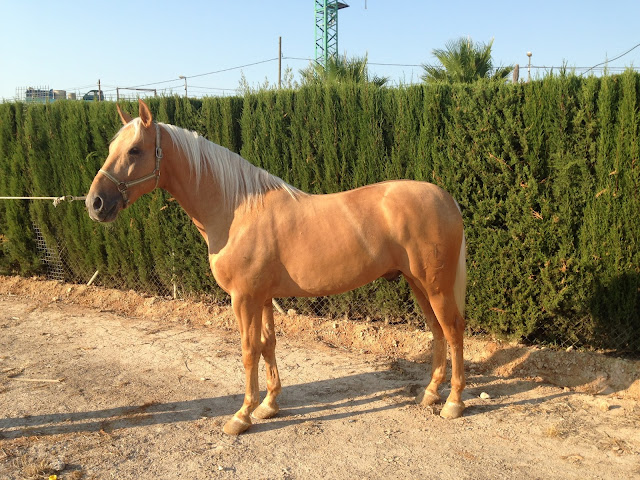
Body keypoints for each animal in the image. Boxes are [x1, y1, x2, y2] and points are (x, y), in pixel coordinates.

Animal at [86, 99, 467, 435]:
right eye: (112, 147)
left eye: (135, 150)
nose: (95, 203)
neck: (236, 210)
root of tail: (445, 198)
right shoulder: (264, 297)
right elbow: (268, 344)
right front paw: (269, 405)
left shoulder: (243, 298)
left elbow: (248, 351)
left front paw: (242, 415)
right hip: (418, 283)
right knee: (437, 332)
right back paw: (430, 393)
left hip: (435, 286)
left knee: (452, 331)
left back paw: (454, 403)